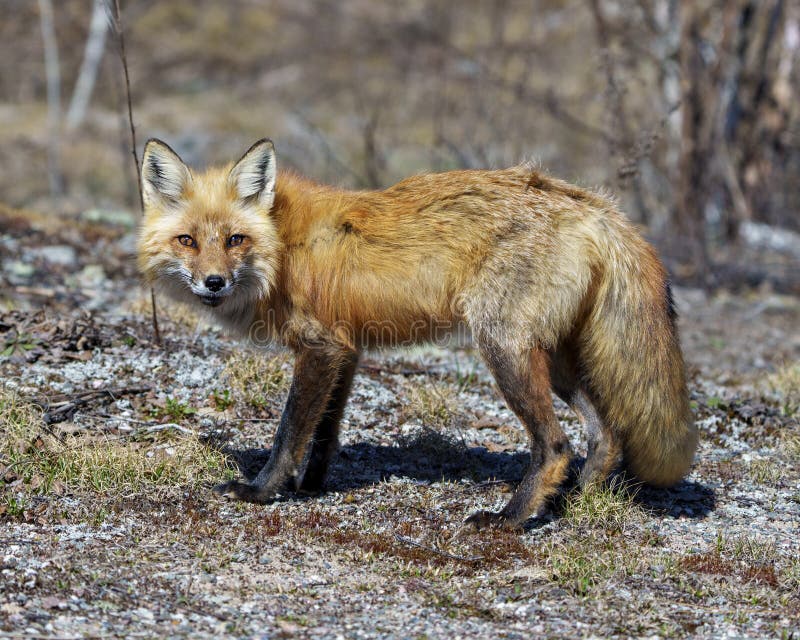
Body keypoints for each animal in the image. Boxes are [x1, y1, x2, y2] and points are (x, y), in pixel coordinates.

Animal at [137, 137, 698, 530]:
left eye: (235, 240)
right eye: (188, 241)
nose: (214, 282)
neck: (284, 247)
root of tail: (593, 205)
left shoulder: (321, 348)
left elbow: (290, 431)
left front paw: (263, 490)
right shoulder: (346, 350)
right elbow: (325, 433)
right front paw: (310, 487)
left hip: (504, 350)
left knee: (556, 444)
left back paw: (511, 519)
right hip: (554, 360)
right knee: (604, 435)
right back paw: (571, 503)